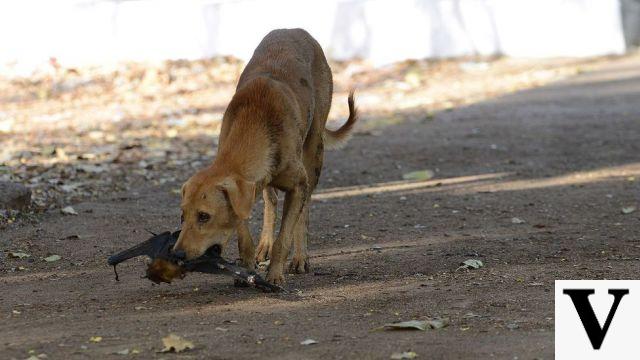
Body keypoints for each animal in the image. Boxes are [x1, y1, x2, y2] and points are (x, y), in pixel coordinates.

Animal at [172, 28, 358, 284]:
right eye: (182, 215)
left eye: (203, 216)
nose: (177, 254)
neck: (254, 123)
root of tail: (295, 30)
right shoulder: (244, 192)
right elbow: (244, 236)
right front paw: (247, 268)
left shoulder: (298, 185)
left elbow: (285, 236)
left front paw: (275, 275)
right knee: (271, 203)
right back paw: (265, 245)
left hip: (314, 154)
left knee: (305, 209)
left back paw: (300, 257)